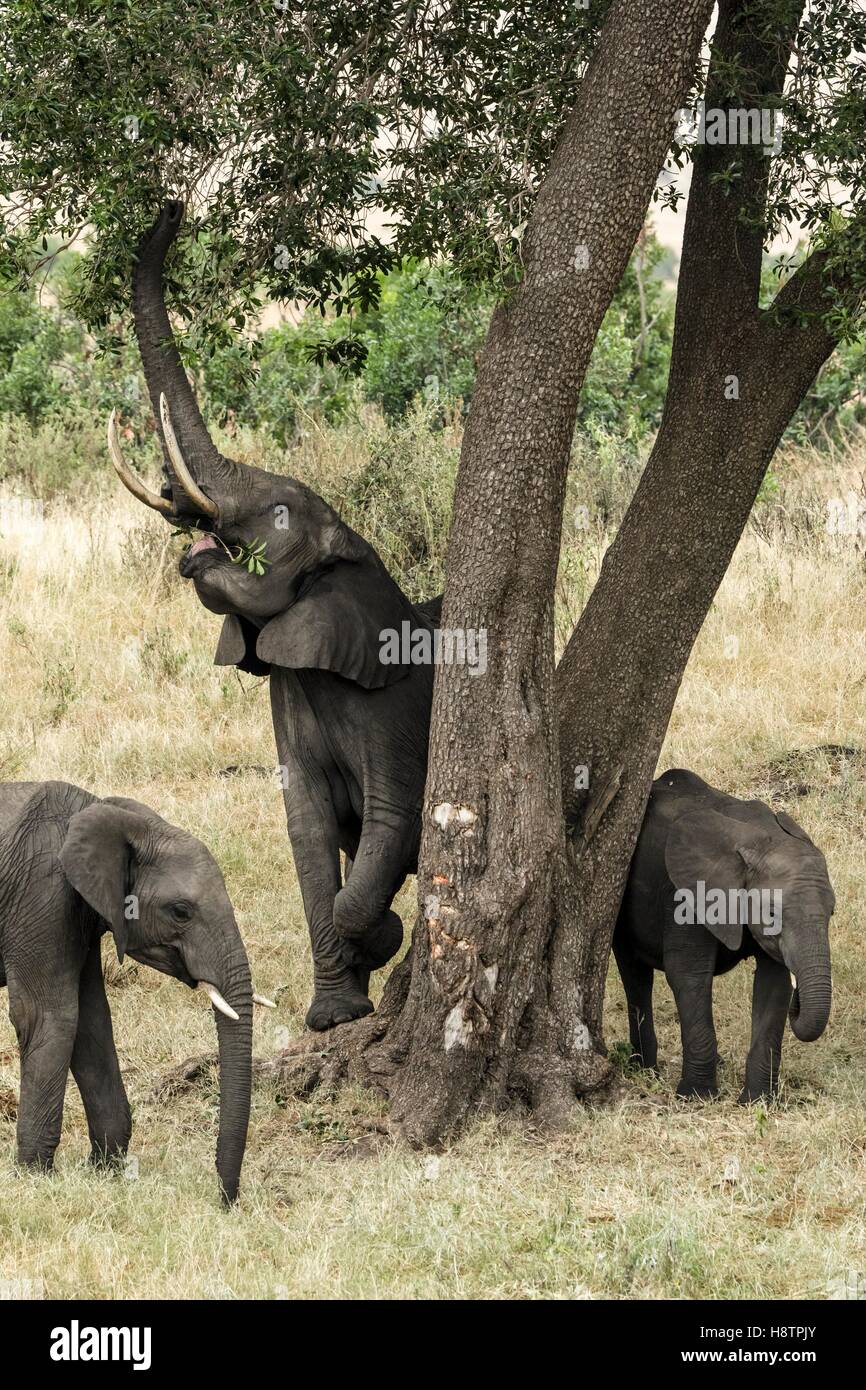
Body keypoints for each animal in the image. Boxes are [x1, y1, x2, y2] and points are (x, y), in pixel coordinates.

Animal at [0, 780, 264, 1203]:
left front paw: (104, 1170)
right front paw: (34, 1177)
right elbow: (49, 1016)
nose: (226, 1200)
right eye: (180, 911)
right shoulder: (40, 895)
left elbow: (91, 1020)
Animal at [111, 201, 442, 1031]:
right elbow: (309, 831)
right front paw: (338, 1017)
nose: (173, 207)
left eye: (280, 513)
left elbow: (390, 825)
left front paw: (380, 940)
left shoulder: (390, 713)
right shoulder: (288, 690)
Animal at [613, 768, 835, 1103]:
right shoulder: (684, 897)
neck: (757, 837)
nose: (799, 1003)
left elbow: (773, 985)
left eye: (831, 913)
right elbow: (688, 975)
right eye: (771, 914)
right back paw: (645, 1071)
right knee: (634, 973)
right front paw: (696, 1097)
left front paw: (758, 1101)